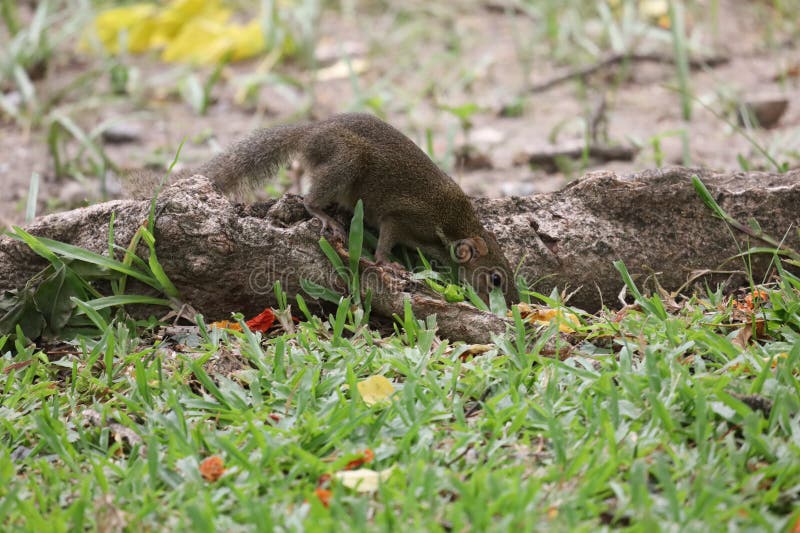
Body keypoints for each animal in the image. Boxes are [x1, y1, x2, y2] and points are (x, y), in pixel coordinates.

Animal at [161, 113, 519, 305]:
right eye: (496, 279)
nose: (515, 303)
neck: (454, 221)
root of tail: (310, 132)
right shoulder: (403, 218)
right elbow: (386, 240)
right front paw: (387, 263)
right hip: (347, 160)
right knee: (309, 200)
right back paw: (324, 216)